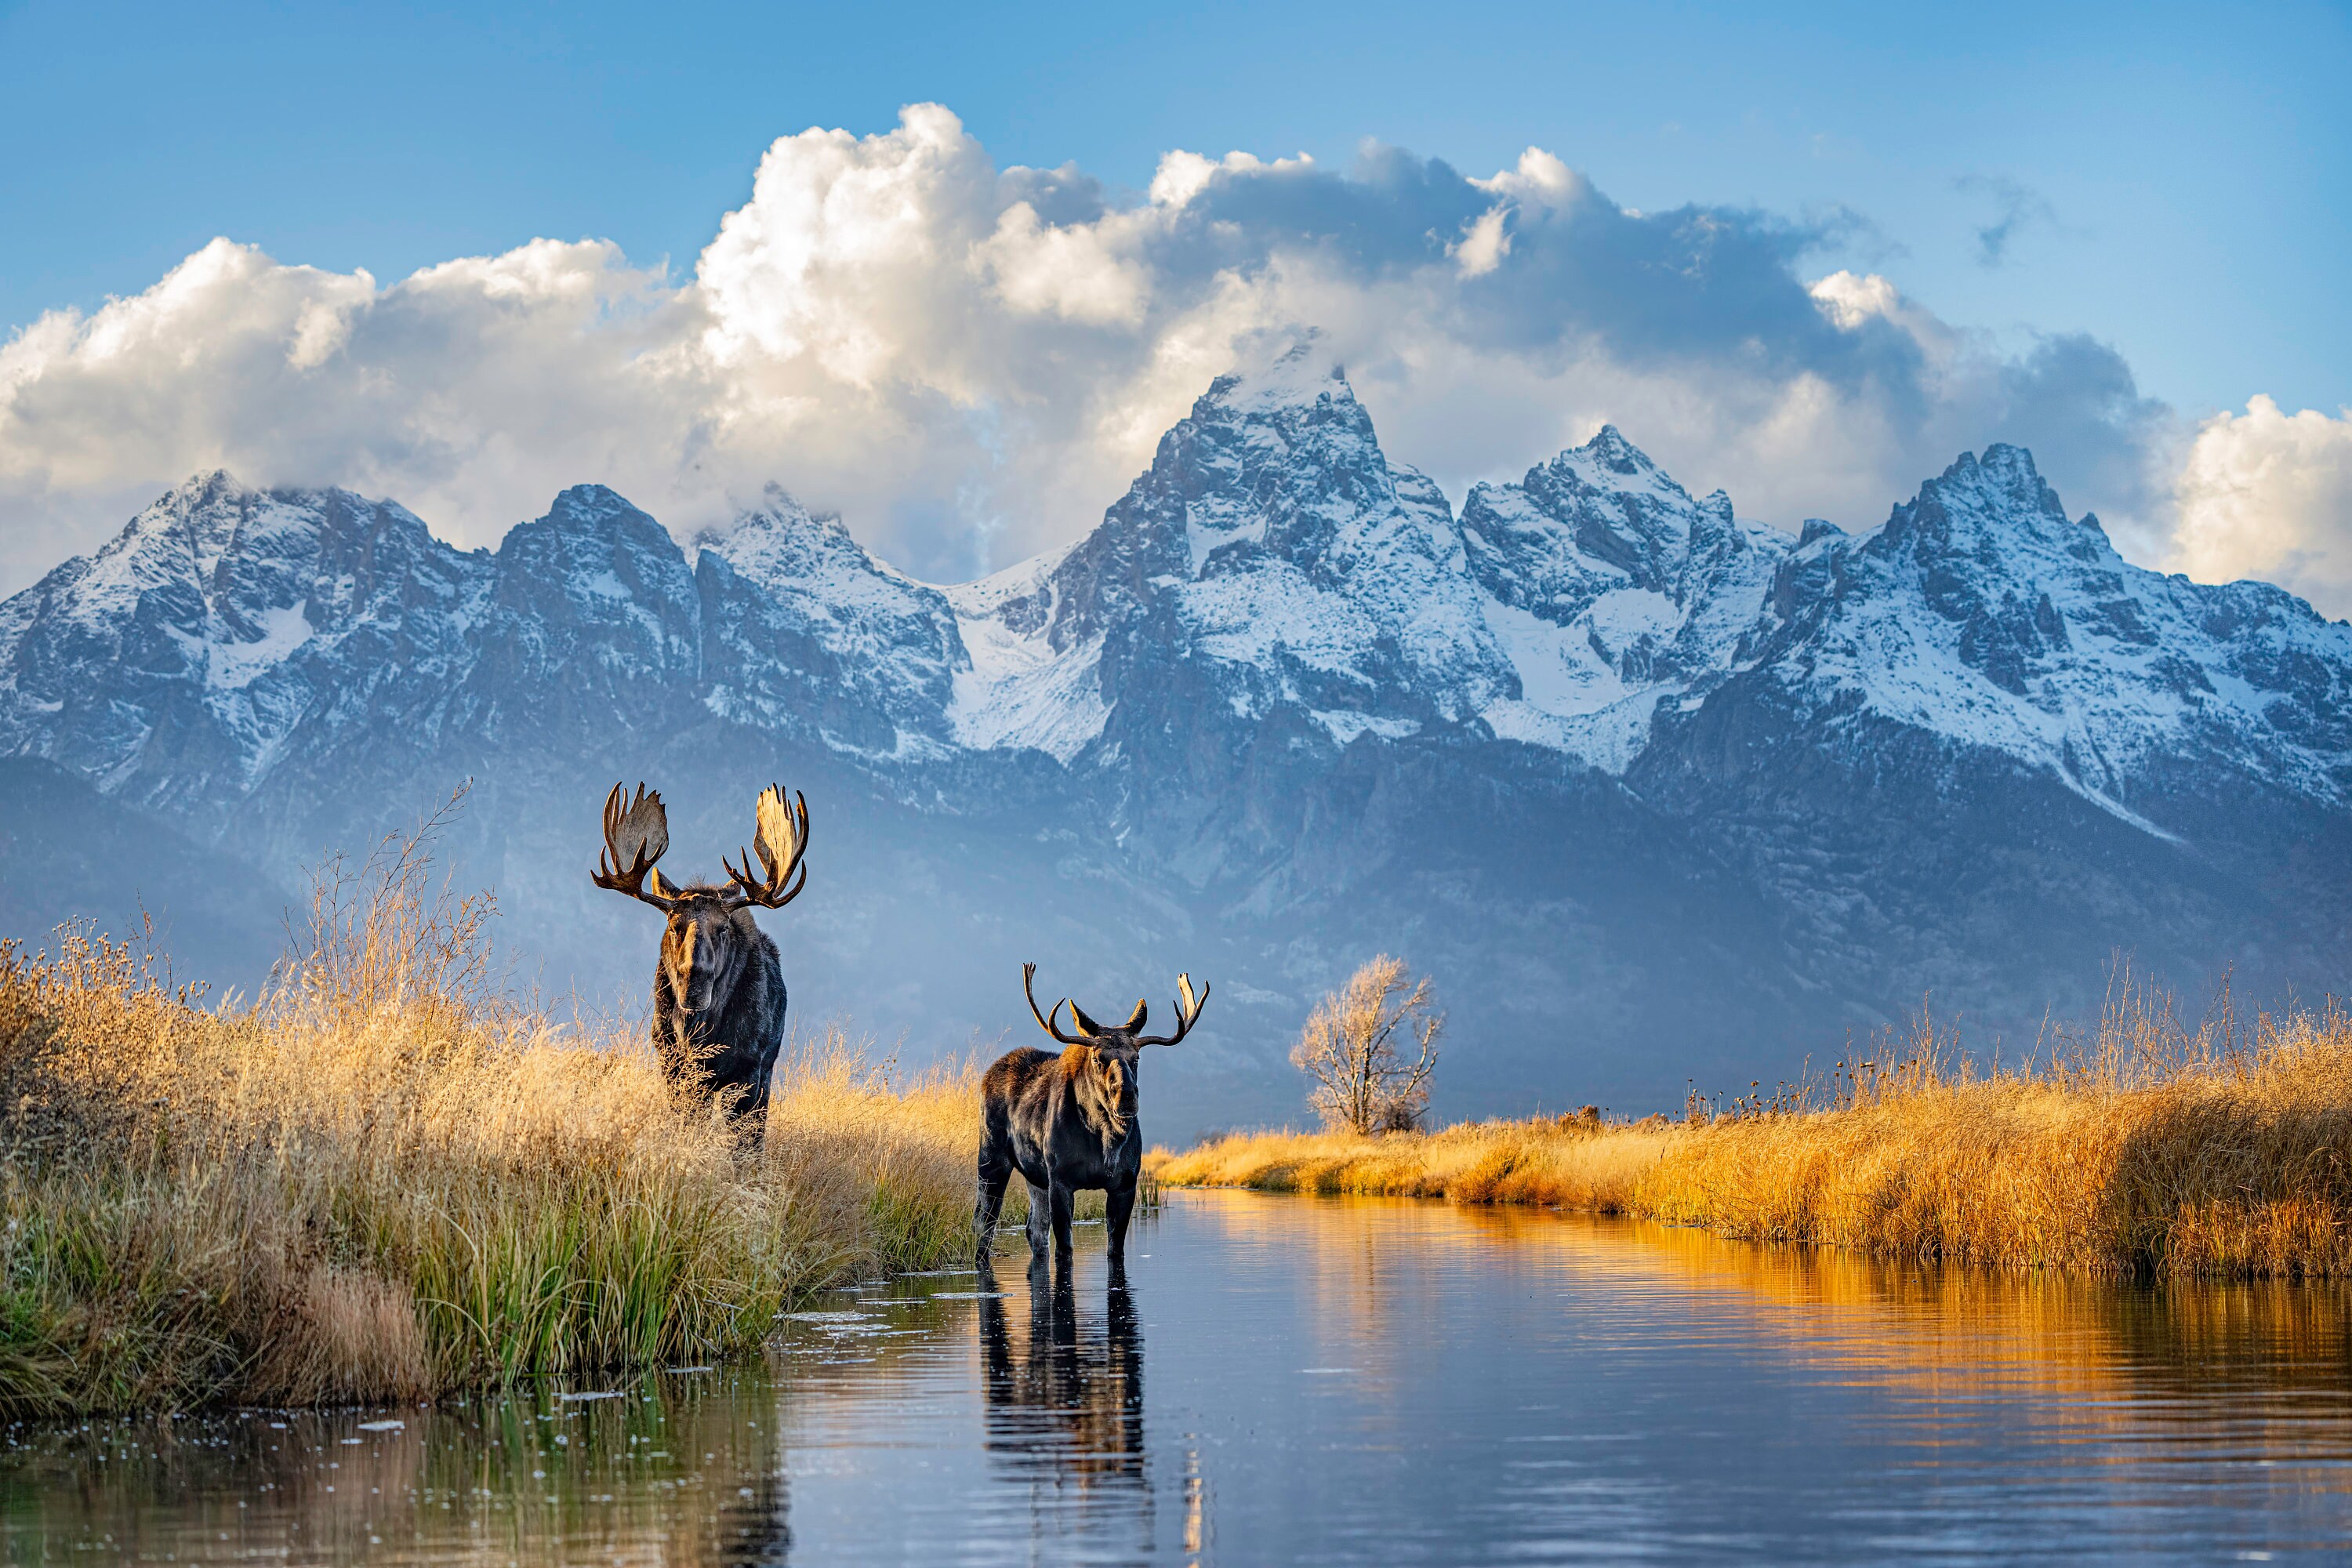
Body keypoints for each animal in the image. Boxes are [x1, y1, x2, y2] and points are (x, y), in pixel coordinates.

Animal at [590, 781, 809, 1142]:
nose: (693, 985)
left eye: (723, 929)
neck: (698, 1031)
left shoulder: (748, 1068)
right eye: (673, 926)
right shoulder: (673, 1064)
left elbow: (741, 1138)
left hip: (767, 1069)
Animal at [974, 962, 1209, 1270]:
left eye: (1136, 1058)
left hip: (1035, 1177)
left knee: (1034, 1230)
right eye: (1098, 1058)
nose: (1126, 1097)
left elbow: (1115, 1250)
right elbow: (1065, 1250)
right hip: (991, 1158)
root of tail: (987, 1076)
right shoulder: (1060, 1180)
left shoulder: (1125, 1184)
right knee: (983, 1223)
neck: (1104, 1140)